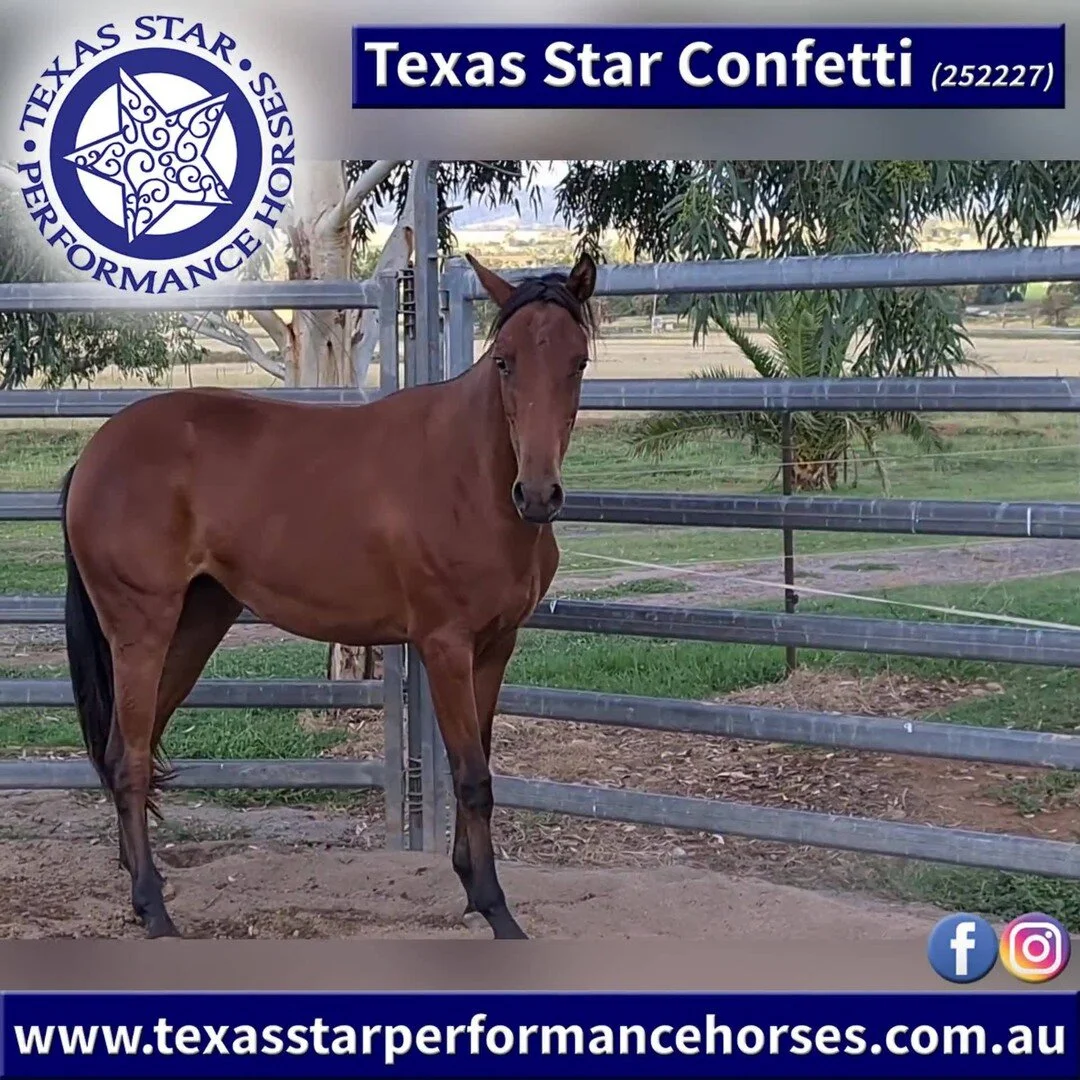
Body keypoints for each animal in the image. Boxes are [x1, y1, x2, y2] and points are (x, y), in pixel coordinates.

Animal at [59, 252, 598, 940]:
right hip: (141, 633)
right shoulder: (445, 648)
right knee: (128, 762)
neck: (469, 478)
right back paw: (155, 910)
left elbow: (477, 768)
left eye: (576, 362)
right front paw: (498, 911)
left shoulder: (494, 647)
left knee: (128, 749)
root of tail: (95, 456)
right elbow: (471, 776)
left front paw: (476, 890)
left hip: (195, 625)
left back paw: (138, 890)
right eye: (503, 360)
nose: (537, 494)